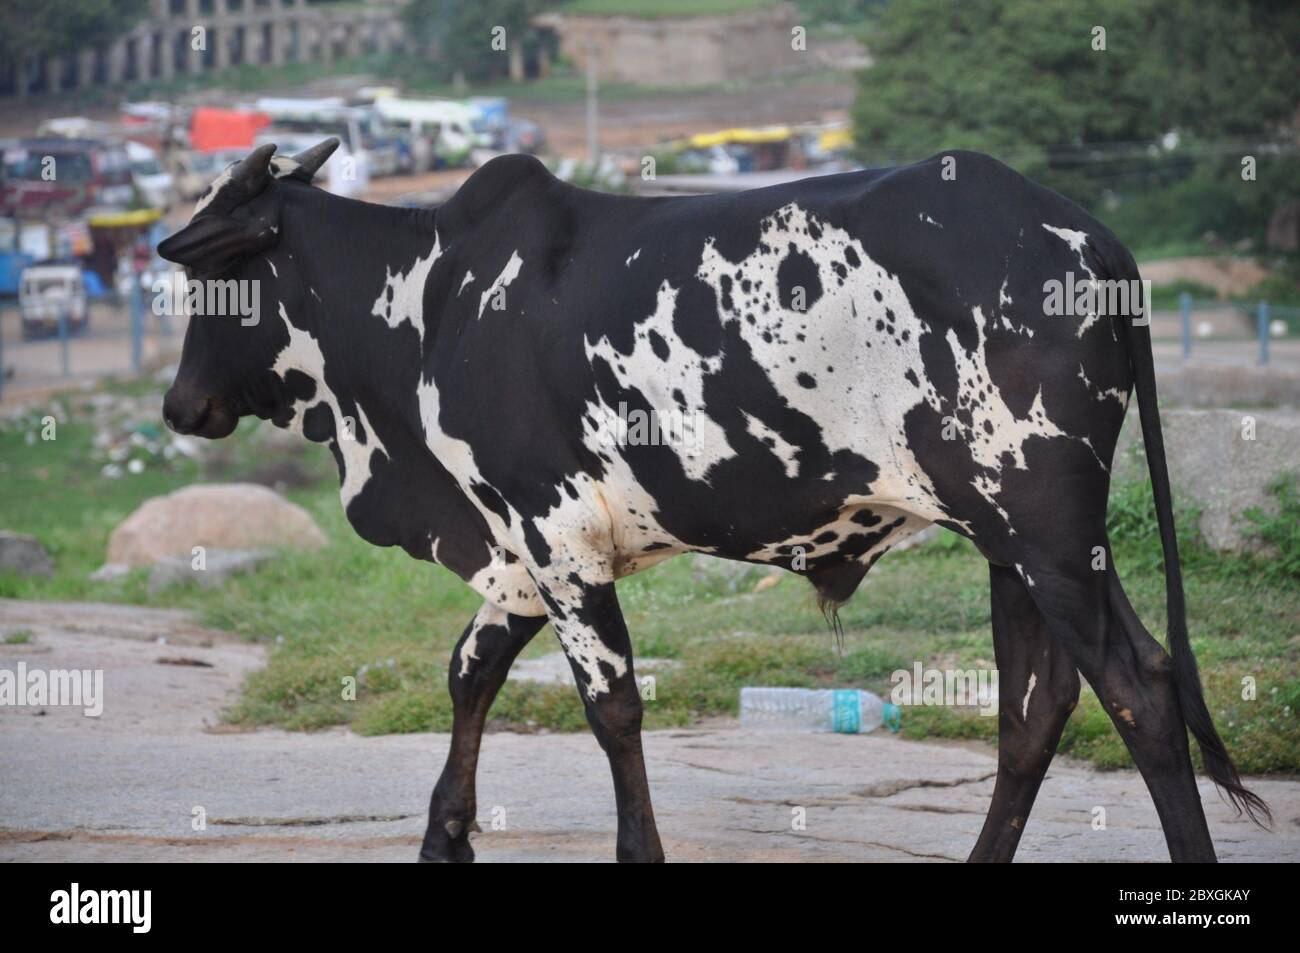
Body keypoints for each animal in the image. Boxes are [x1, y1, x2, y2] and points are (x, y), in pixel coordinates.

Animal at [158, 139, 1268, 863]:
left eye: (215, 278)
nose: (178, 402)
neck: (431, 297)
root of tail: (1088, 236)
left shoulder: (553, 530)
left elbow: (611, 707)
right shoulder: (519, 547)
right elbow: (469, 672)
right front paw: (444, 837)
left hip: (1044, 529)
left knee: (1136, 689)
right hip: (1020, 544)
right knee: (1039, 709)